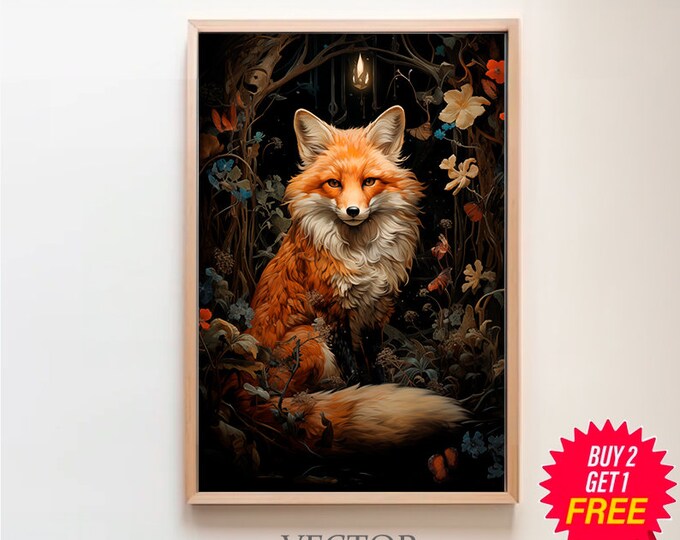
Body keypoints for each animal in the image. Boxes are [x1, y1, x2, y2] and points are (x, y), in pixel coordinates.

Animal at [227, 106, 467, 454]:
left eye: (369, 181)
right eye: (333, 183)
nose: (353, 211)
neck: (361, 255)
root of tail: (239, 385)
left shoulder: (377, 310)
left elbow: (375, 362)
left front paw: (380, 385)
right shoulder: (333, 312)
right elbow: (353, 370)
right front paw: (361, 391)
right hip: (308, 338)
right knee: (293, 397)